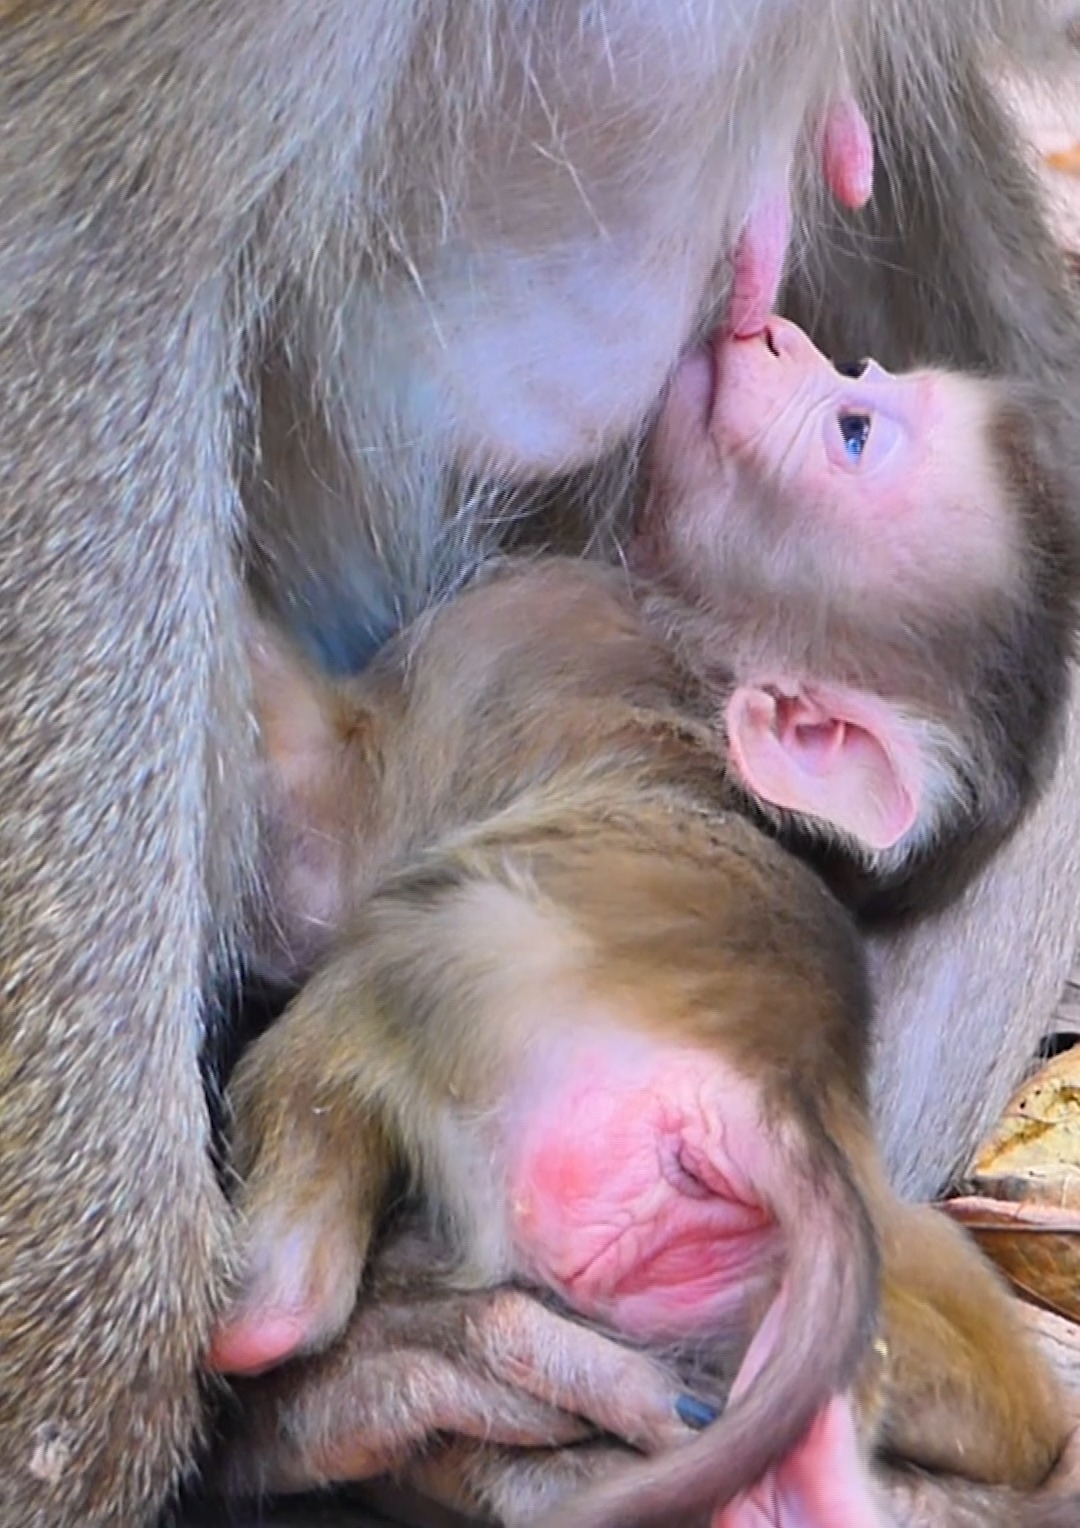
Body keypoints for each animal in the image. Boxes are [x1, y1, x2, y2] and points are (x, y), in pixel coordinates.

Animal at [206, 327, 1080, 1527]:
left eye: (854, 433)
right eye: (863, 390)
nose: (785, 336)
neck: (694, 666)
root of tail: (786, 1105)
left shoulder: (523, 628)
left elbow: (319, 871)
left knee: (367, 1002)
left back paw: (265, 1316)